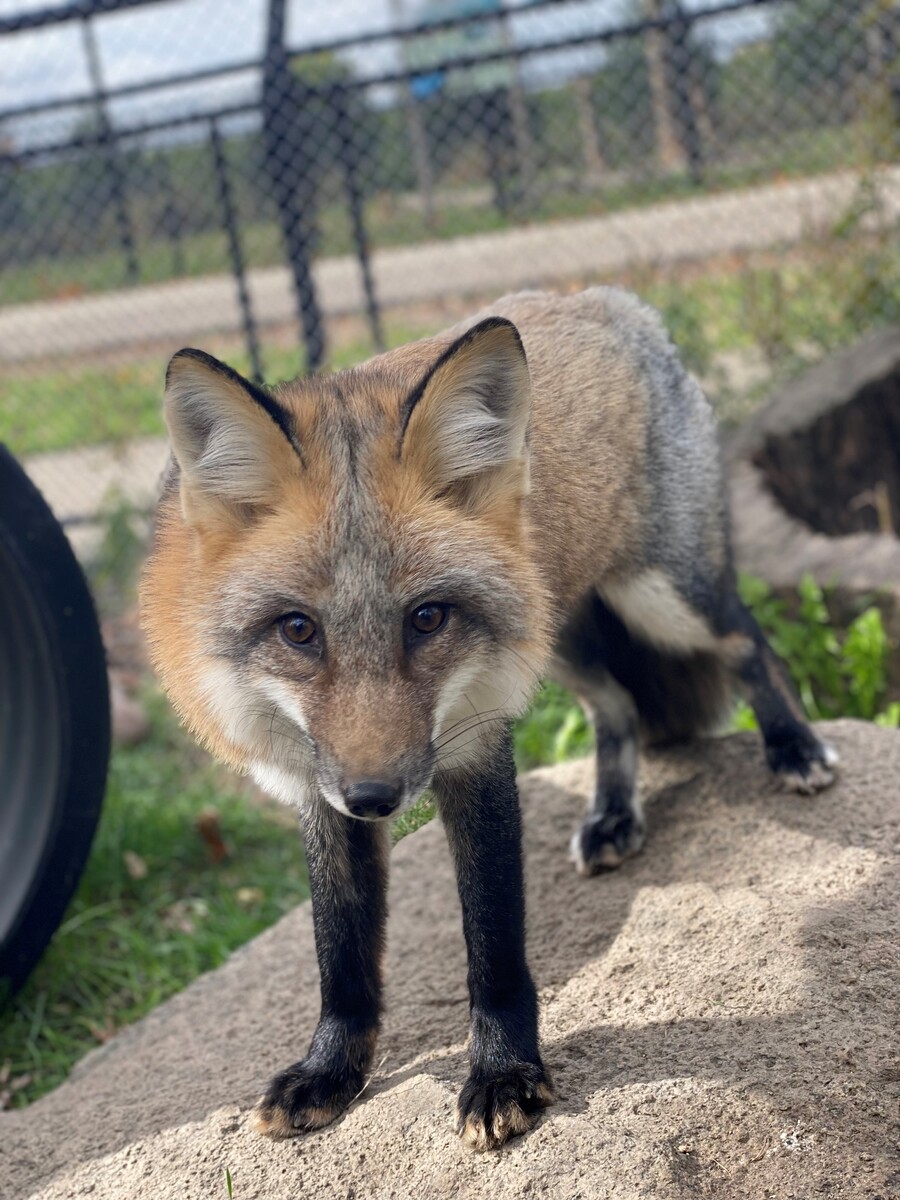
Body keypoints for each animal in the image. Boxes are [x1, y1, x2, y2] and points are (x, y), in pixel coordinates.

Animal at [140, 286, 837, 1152]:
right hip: (556, 632)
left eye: (428, 618)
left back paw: (794, 745)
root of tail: (605, 300)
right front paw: (331, 1071)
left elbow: (494, 944)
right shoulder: (316, 784)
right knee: (617, 708)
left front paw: (506, 1074)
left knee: (748, 639)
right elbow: (341, 951)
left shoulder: (475, 748)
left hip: (661, 599)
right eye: (298, 630)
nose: (375, 799)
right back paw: (613, 815)